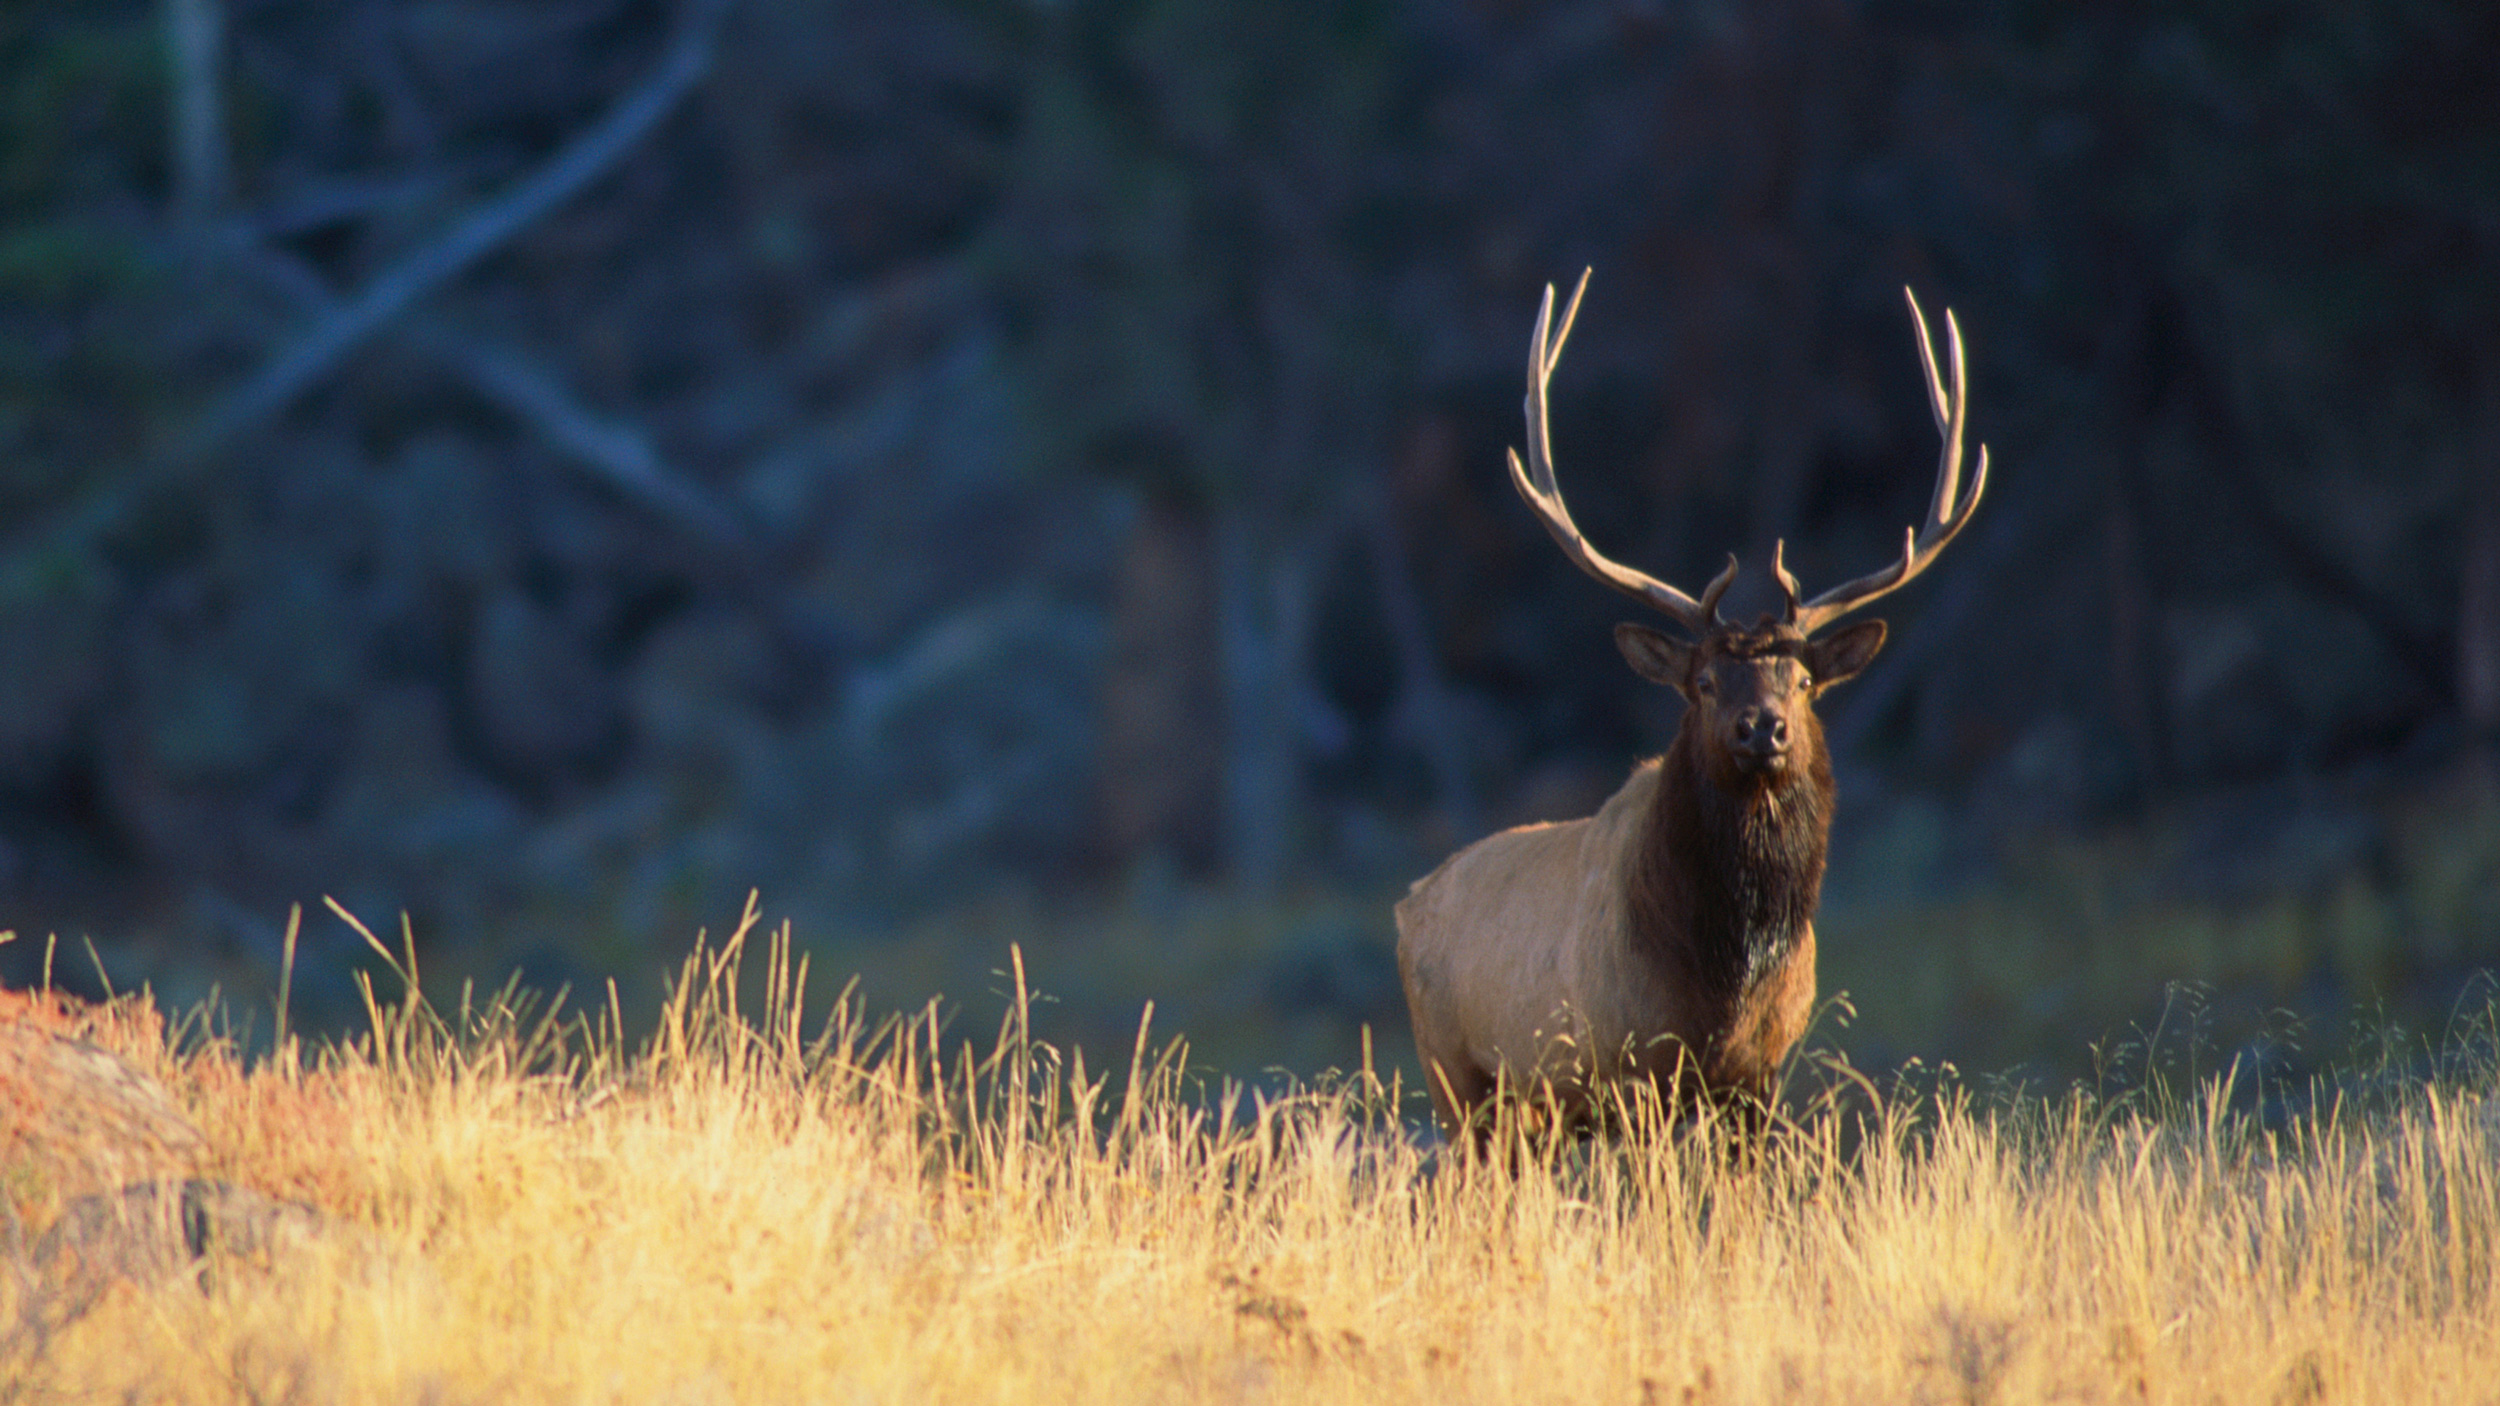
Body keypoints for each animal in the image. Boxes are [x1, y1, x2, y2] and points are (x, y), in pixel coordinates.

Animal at [1394, 271, 1988, 1145]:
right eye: (1704, 683)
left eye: (1802, 682)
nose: (1762, 728)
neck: (1724, 981)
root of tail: (1408, 905)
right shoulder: (1627, 1064)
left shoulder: (1761, 1075)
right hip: (1460, 1085)